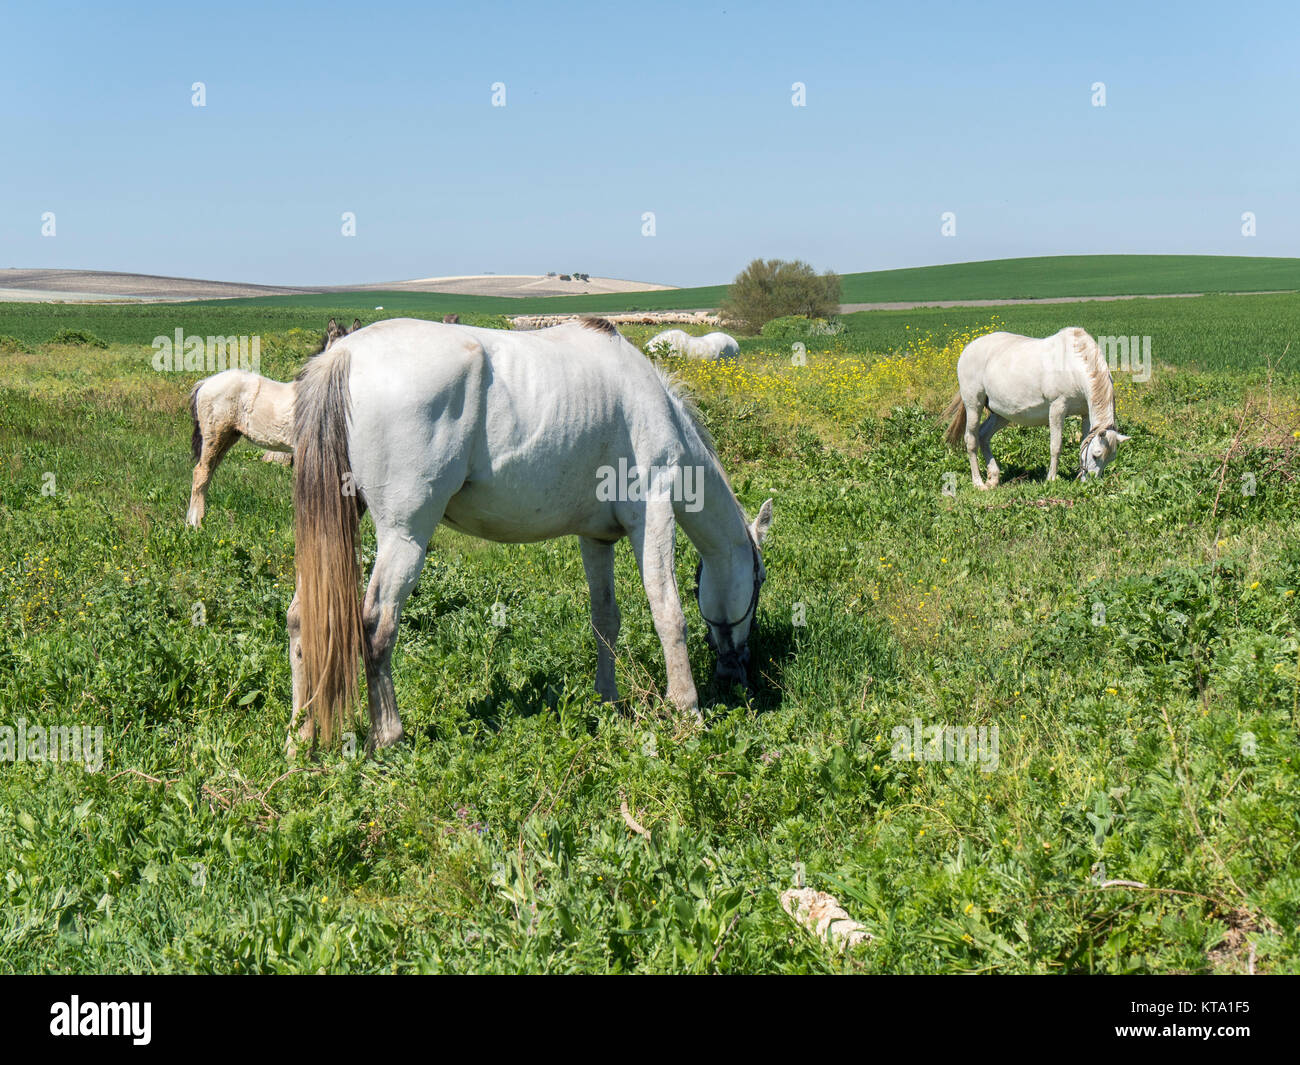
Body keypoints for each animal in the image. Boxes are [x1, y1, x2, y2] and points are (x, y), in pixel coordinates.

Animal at [186, 318, 359, 527]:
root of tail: (204, 383)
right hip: (214, 435)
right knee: (201, 472)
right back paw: (195, 523)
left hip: (228, 438)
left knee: (208, 471)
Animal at [287, 316, 774, 754]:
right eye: (760, 579)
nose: (736, 672)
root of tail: (344, 354)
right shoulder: (653, 515)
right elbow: (668, 613)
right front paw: (688, 712)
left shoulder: (597, 539)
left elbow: (605, 620)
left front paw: (608, 700)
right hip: (405, 536)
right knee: (375, 627)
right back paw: (388, 737)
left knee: (300, 618)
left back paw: (300, 737)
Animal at [943, 327, 1129, 489]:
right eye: (1096, 455)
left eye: (1110, 459)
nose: (1090, 483)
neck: (1072, 366)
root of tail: (968, 348)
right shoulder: (1057, 408)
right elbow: (1056, 446)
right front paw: (1051, 479)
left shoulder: (1085, 414)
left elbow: (1083, 442)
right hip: (974, 405)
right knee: (971, 439)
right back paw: (978, 483)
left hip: (1001, 414)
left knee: (983, 435)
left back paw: (993, 478)